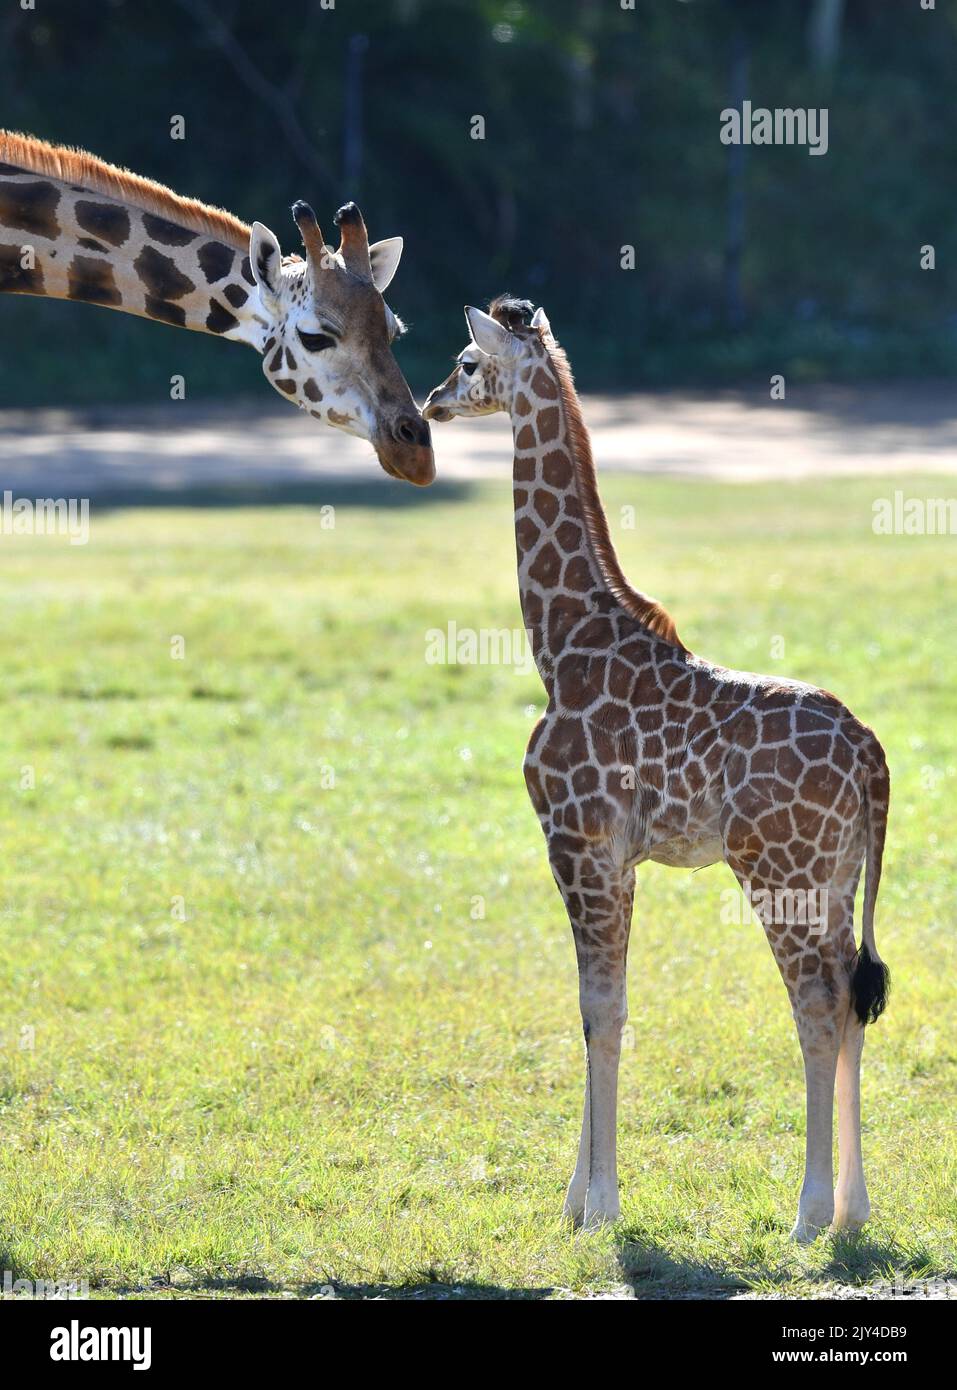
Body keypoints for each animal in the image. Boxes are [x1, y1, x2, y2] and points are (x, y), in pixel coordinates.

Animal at [424, 298, 891, 1240]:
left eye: (464, 361)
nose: (428, 403)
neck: (560, 643)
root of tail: (869, 752)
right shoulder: (617, 857)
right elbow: (601, 1005)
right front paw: (576, 1198)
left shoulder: (576, 843)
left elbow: (598, 1010)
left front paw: (600, 1208)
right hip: (835, 877)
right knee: (850, 998)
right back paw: (851, 1213)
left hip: (777, 872)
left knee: (817, 1009)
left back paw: (805, 1215)